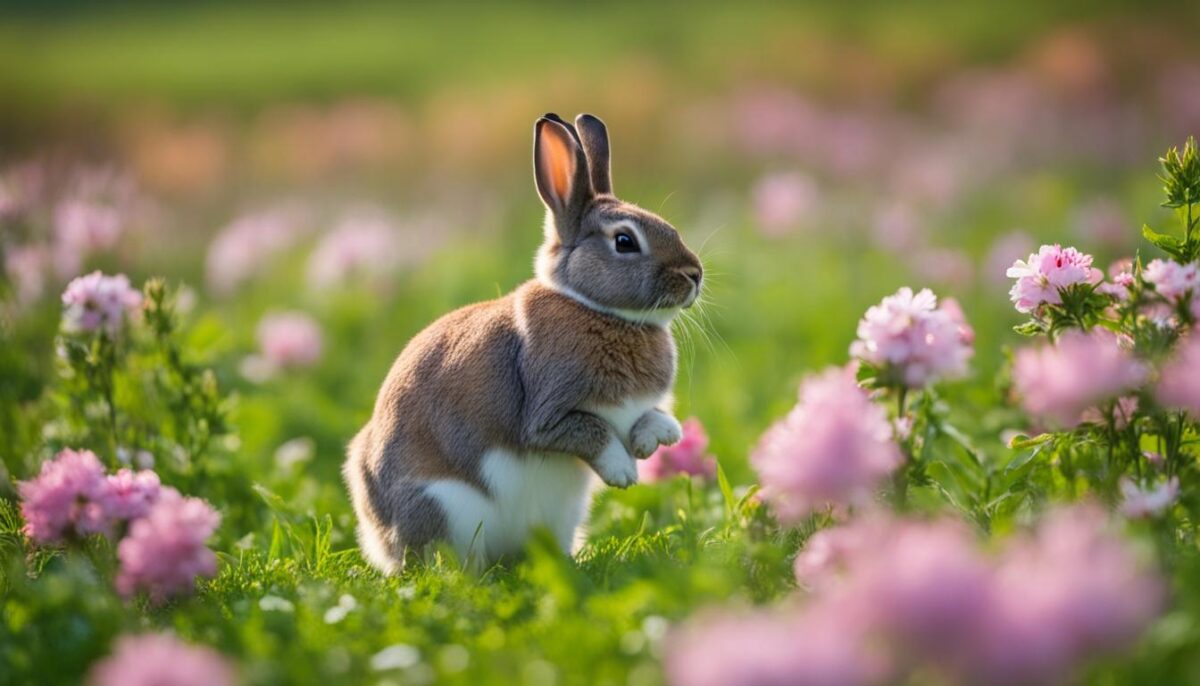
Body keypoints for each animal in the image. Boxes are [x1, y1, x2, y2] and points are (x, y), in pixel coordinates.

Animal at [344, 112, 703, 573]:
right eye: (625, 241)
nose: (694, 274)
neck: (594, 308)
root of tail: (380, 542)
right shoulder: (547, 413)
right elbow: (592, 429)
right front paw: (624, 472)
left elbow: (650, 418)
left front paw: (656, 440)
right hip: (445, 506)